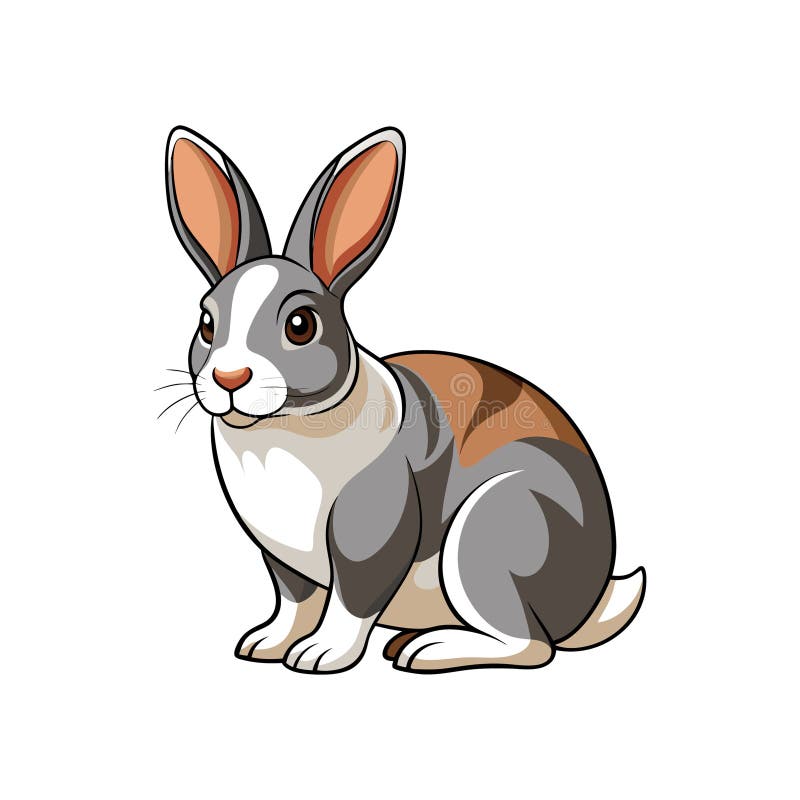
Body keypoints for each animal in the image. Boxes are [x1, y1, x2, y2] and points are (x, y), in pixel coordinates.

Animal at [164, 125, 646, 674]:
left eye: (301, 325)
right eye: (206, 323)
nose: (229, 376)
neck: (285, 425)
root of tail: (590, 598)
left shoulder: (369, 534)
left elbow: (352, 600)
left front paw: (319, 655)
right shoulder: (282, 558)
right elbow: (293, 601)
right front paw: (265, 644)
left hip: (490, 532)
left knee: (529, 645)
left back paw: (428, 651)